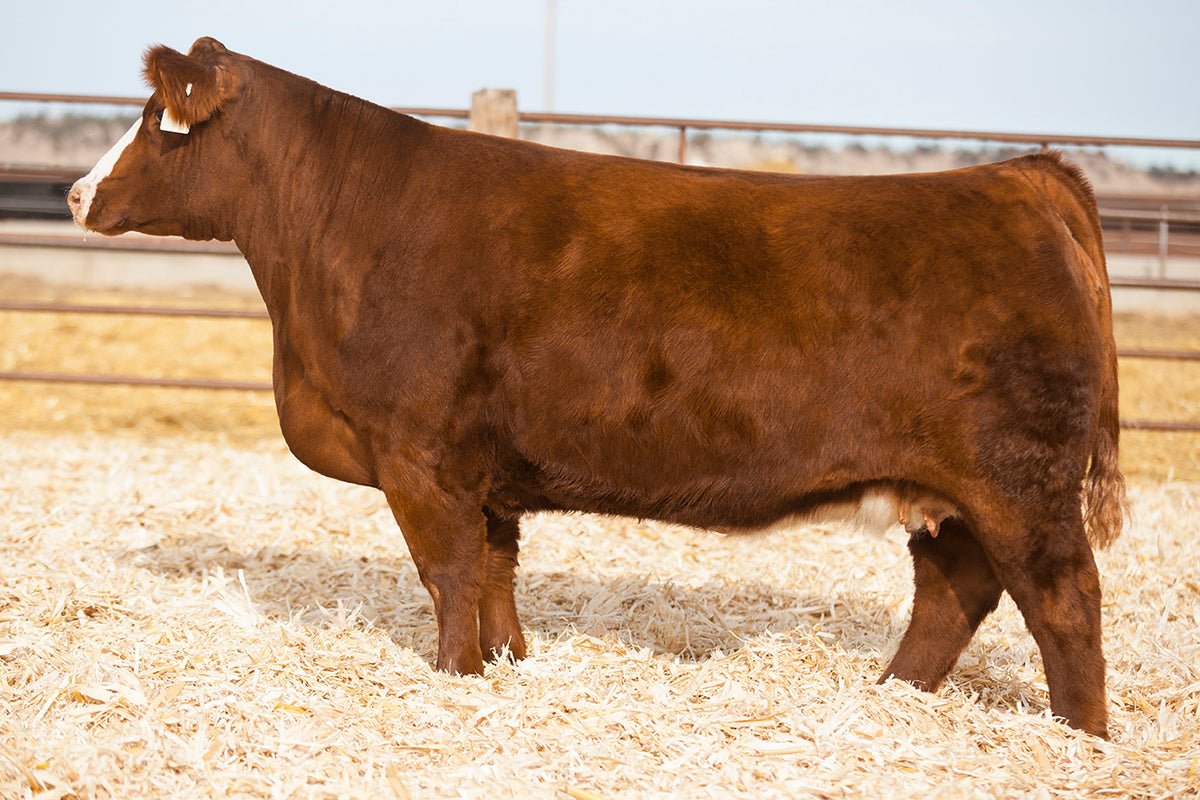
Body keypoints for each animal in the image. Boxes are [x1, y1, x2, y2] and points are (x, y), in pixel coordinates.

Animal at [68, 37, 1127, 738]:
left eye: (157, 120)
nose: (78, 193)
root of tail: (1022, 176)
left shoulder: (420, 455)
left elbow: (447, 573)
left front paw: (451, 679)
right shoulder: (482, 470)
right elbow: (495, 573)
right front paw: (504, 665)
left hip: (1021, 483)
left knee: (1063, 600)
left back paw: (1079, 738)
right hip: (954, 492)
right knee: (953, 591)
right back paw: (892, 697)